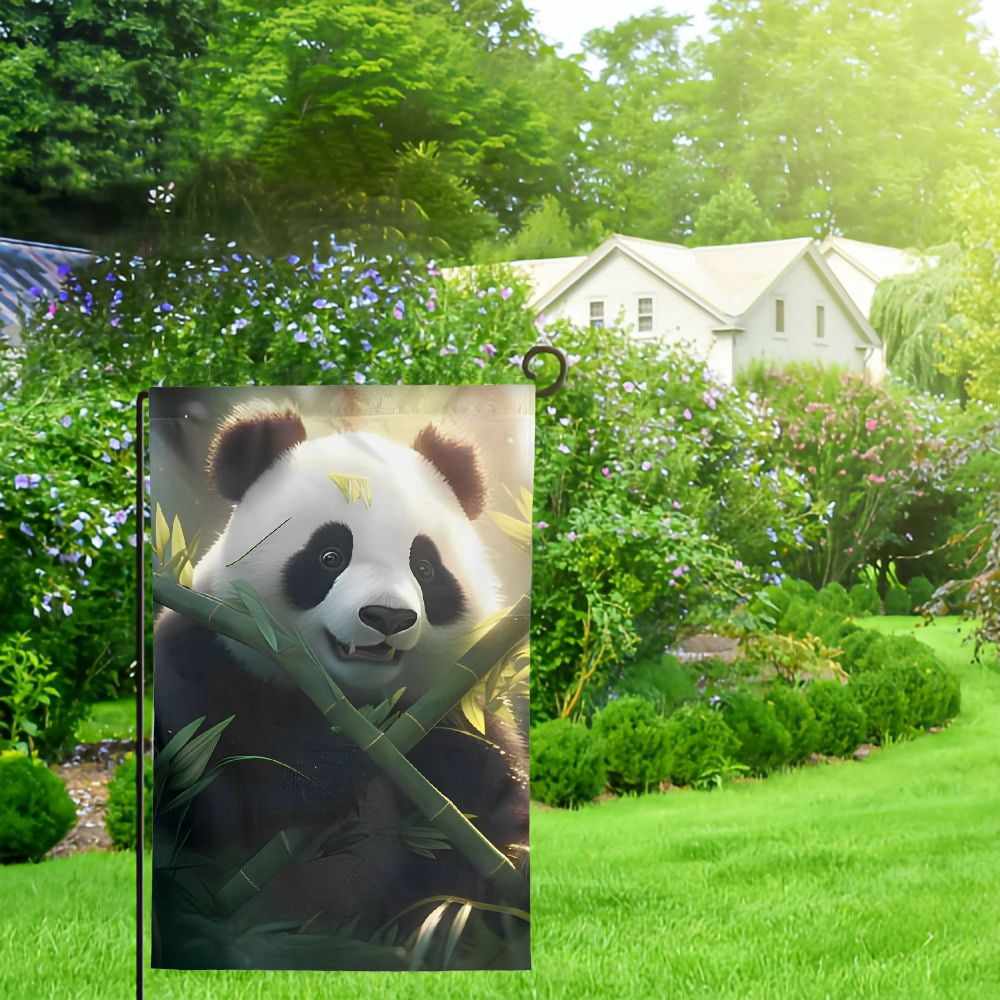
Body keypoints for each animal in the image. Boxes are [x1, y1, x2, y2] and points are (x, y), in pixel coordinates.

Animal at [153, 404, 529, 970]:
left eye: (424, 567)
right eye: (331, 556)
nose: (387, 617)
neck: (350, 701)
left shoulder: (449, 709)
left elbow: (492, 802)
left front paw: (511, 875)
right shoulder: (208, 648)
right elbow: (207, 768)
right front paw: (329, 772)